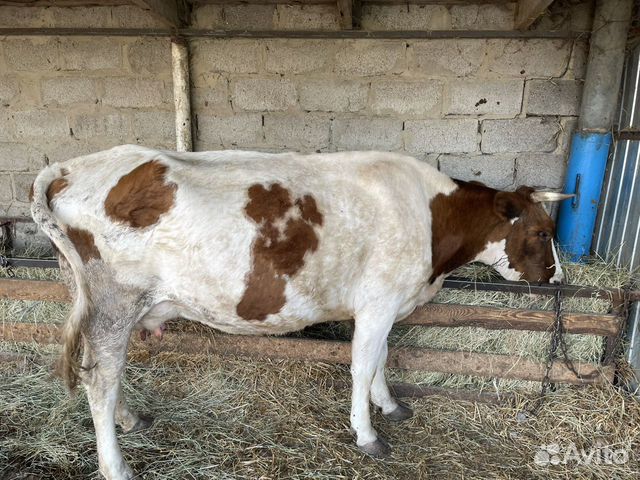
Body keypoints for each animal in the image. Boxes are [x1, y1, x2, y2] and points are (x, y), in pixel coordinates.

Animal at [30, 145, 571, 480]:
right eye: (543, 231)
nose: (557, 277)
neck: (430, 219)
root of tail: (71, 167)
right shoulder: (378, 301)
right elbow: (362, 365)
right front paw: (367, 433)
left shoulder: (383, 305)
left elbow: (381, 359)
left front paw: (389, 406)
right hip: (115, 302)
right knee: (101, 378)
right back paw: (116, 465)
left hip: (90, 301)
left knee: (97, 371)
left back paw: (128, 420)